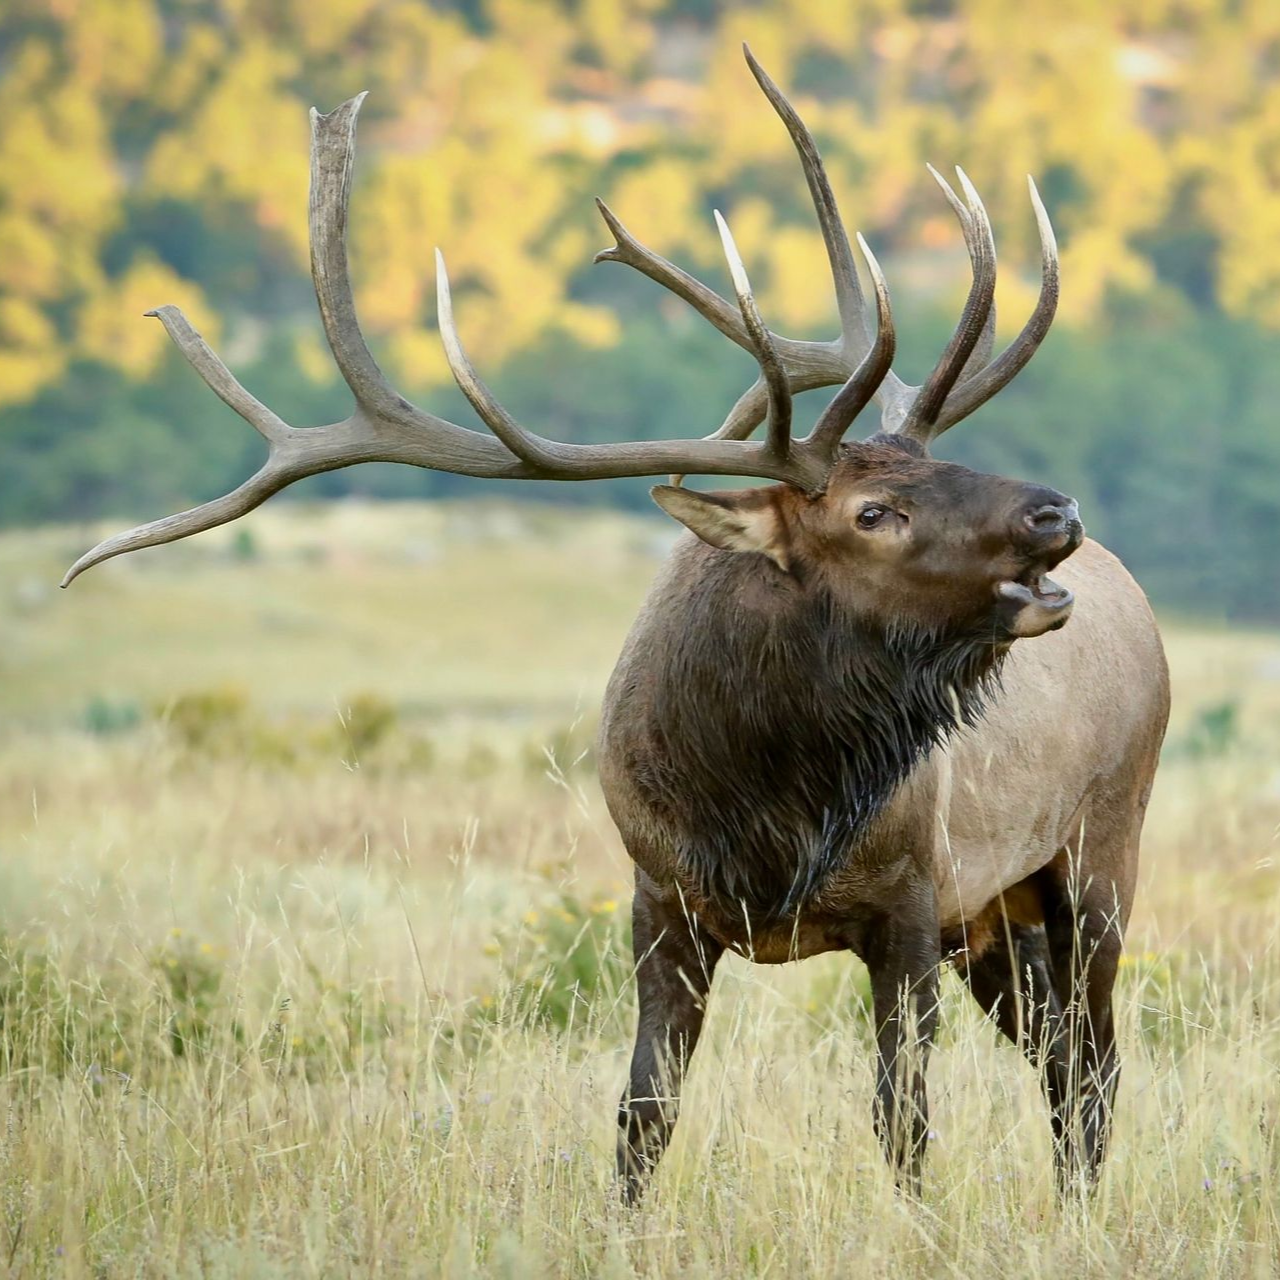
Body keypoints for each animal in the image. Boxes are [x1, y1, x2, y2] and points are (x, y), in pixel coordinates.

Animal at [63, 47, 1169, 1199]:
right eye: (874, 510)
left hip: (1096, 849)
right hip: (994, 914)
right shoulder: (659, 901)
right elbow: (643, 1113)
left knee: (1090, 1063)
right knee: (1062, 1055)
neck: (766, 808)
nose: (1055, 512)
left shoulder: (909, 901)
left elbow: (900, 1121)